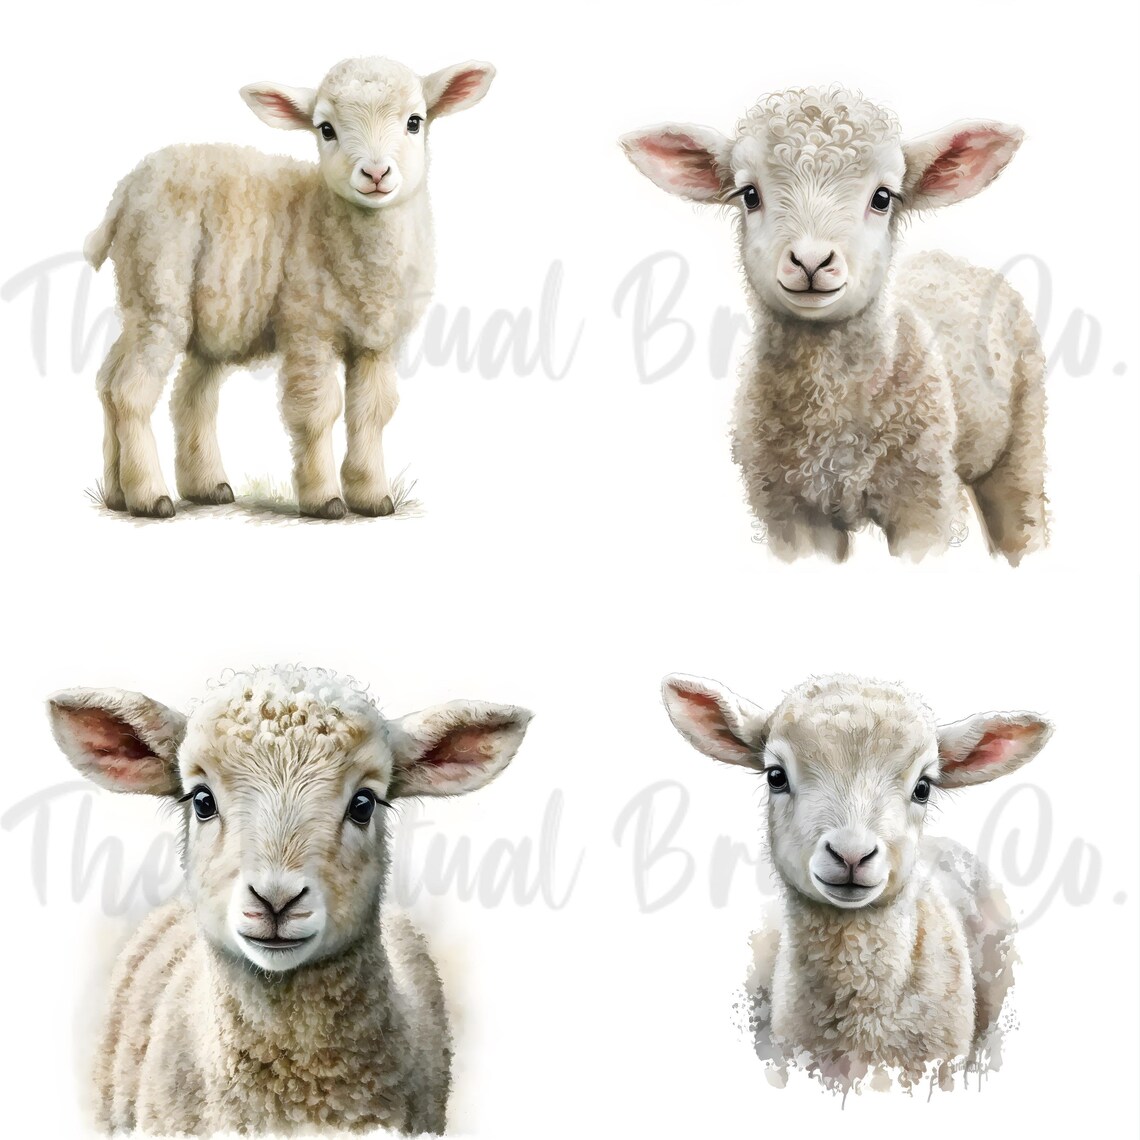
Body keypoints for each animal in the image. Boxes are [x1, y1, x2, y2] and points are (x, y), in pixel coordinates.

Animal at [87, 56, 494, 519]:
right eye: (326, 129)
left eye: (414, 121)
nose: (375, 173)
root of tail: (126, 190)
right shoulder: (306, 326)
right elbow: (317, 411)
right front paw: (324, 498)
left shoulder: (376, 341)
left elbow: (371, 413)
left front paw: (372, 496)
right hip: (159, 284)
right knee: (130, 391)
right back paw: (148, 495)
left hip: (171, 306)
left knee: (152, 390)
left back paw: (158, 490)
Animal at [622, 87, 1047, 564]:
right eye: (749, 195)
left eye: (882, 198)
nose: (810, 261)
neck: (831, 418)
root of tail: (951, 259)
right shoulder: (789, 512)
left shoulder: (923, 502)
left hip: (1022, 436)